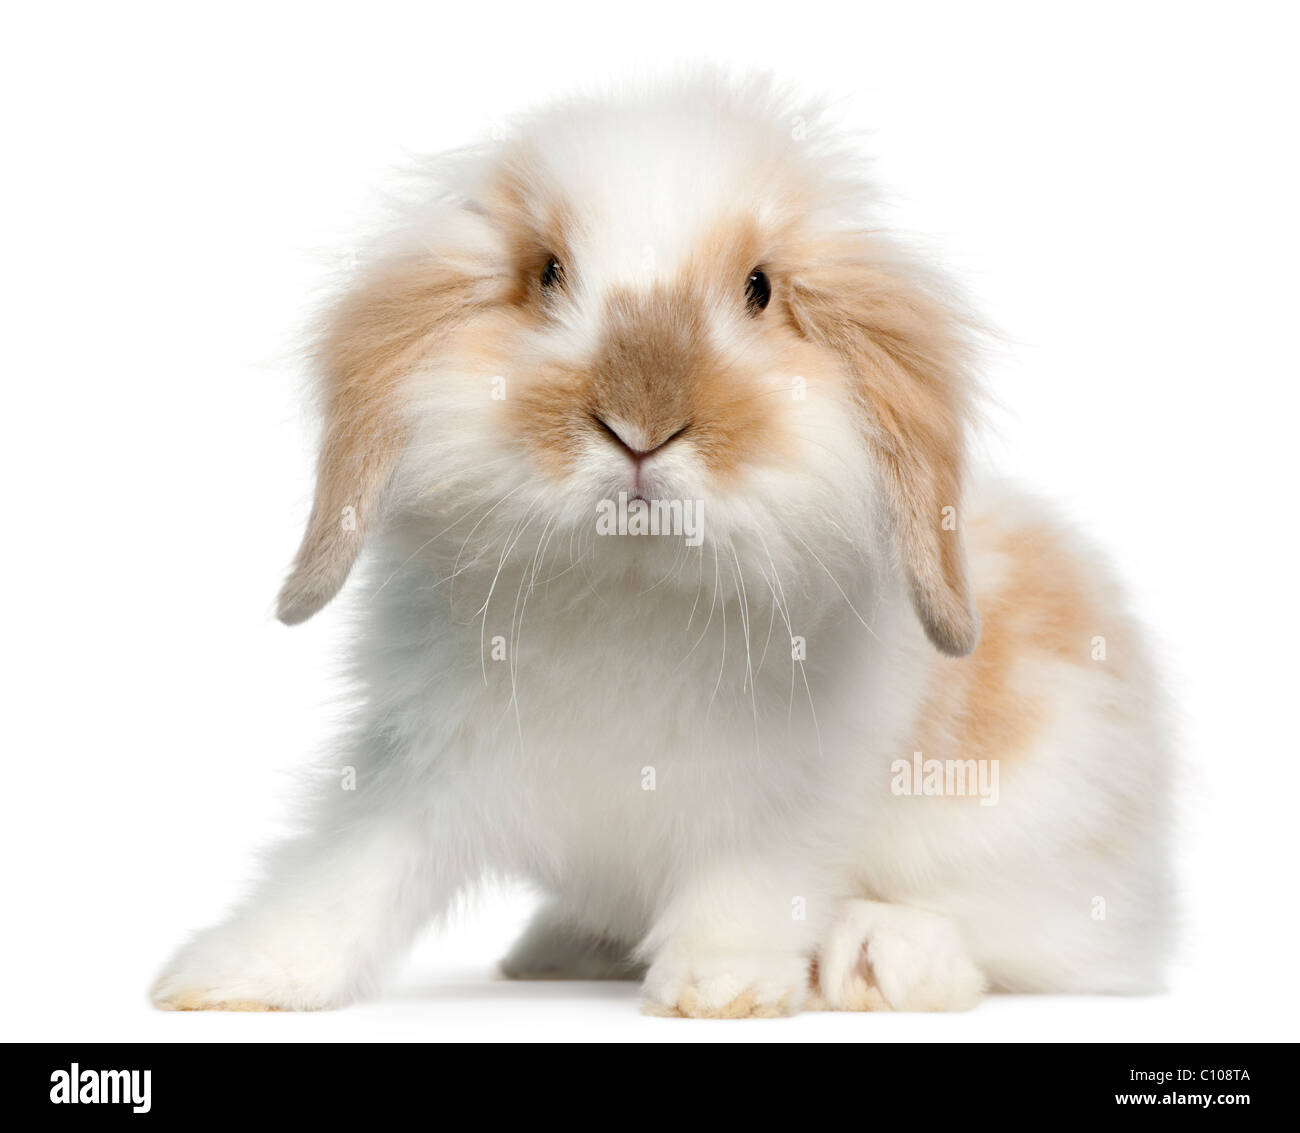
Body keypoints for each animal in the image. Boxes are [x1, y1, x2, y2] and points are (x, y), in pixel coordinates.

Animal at [152, 74, 1173, 1017]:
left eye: (760, 289)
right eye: (546, 274)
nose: (641, 425)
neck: (629, 585)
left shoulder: (786, 795)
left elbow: (753, 878)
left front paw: (721, 985)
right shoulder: (415, 770)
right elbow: (346, 872)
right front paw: (224, 978)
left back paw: (879, 957)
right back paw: (555, 948)